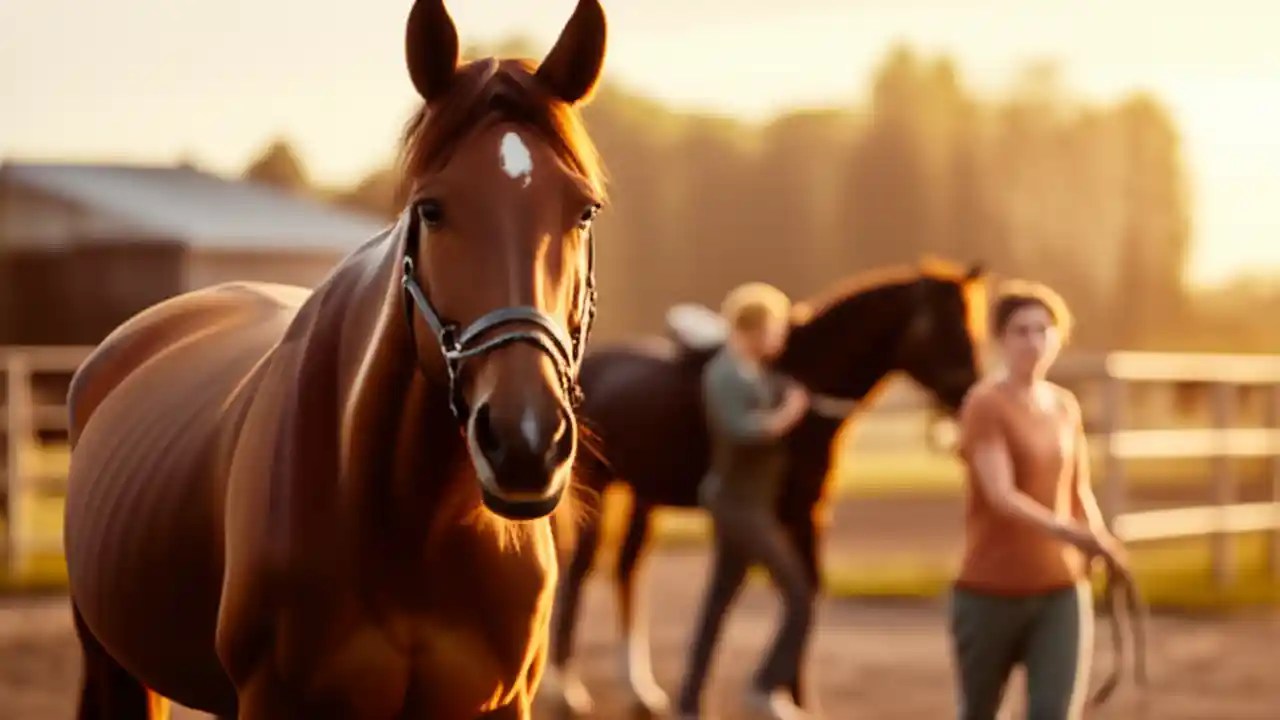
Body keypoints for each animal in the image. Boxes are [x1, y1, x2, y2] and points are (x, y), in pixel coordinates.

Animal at [62, 2, 609, 718]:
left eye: (583, 211)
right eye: (431, 209)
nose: (525, 441)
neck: (412, 530)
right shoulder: (272, 698)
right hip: (115, 667)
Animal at [541, 260, 989, 715]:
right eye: (948, 325)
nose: (974, 395)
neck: (801, 375)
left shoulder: (809, 512)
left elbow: (807, 591)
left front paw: (799, 701)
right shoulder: (791, 514)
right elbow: (799, 594)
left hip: (643, 497)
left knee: (627, 571)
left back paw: (640, 689)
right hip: (598, 491)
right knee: (579, 571)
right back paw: (567, 688)